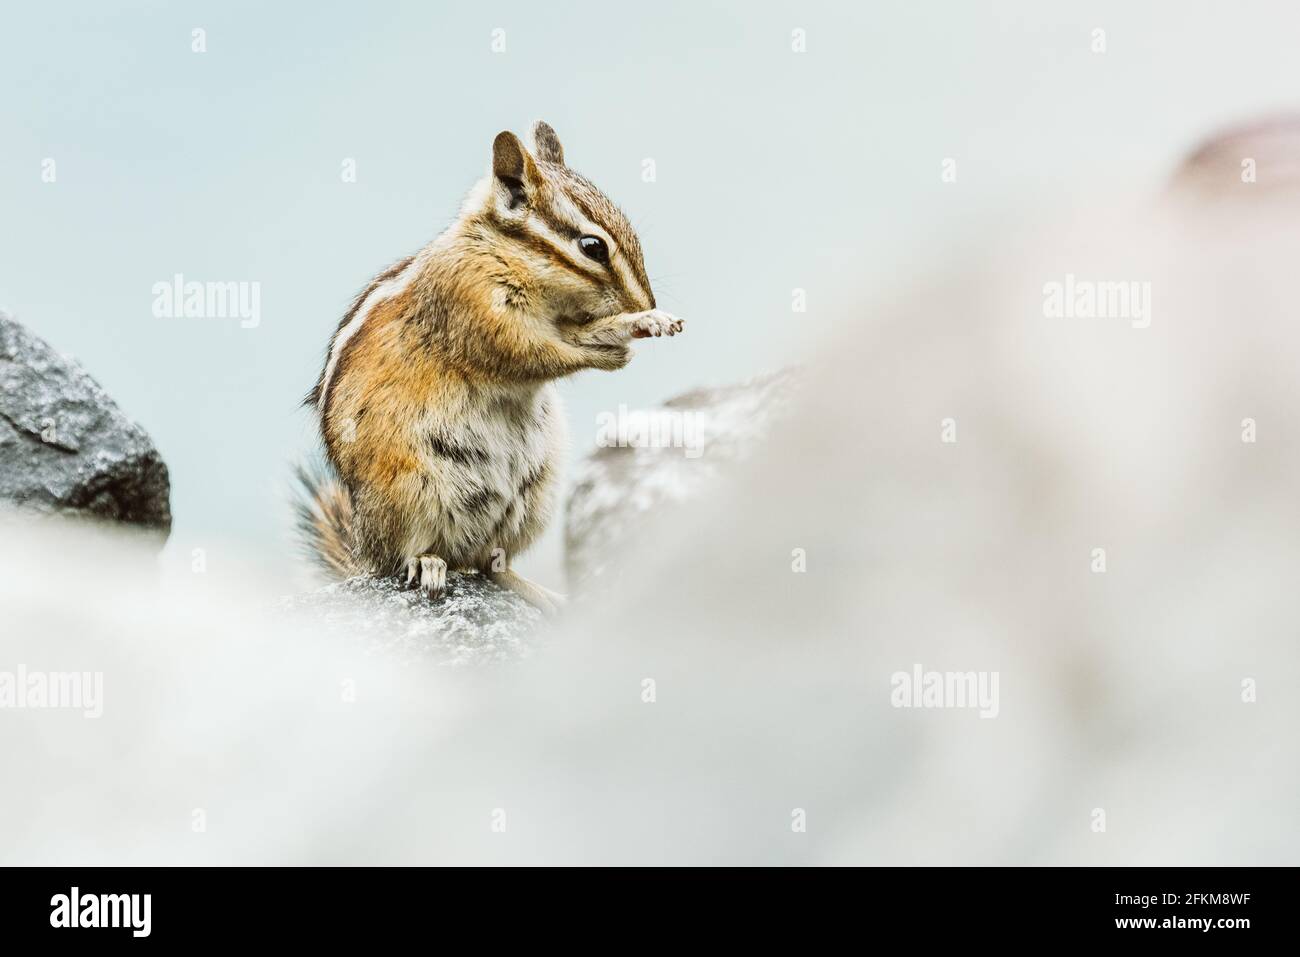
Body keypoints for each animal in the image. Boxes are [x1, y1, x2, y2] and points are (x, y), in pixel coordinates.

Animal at [297, 121, 682, 614]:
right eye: (593, 247)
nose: (643, 302)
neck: (498, 249)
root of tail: (364, 549)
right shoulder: (479, 311)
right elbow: (538, 351)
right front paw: (625, 334)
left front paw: (645, 323)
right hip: (410, 492)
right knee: (408, 558)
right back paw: (428, 564)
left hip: (535, 497)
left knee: (490, 565)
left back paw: (547, 597)